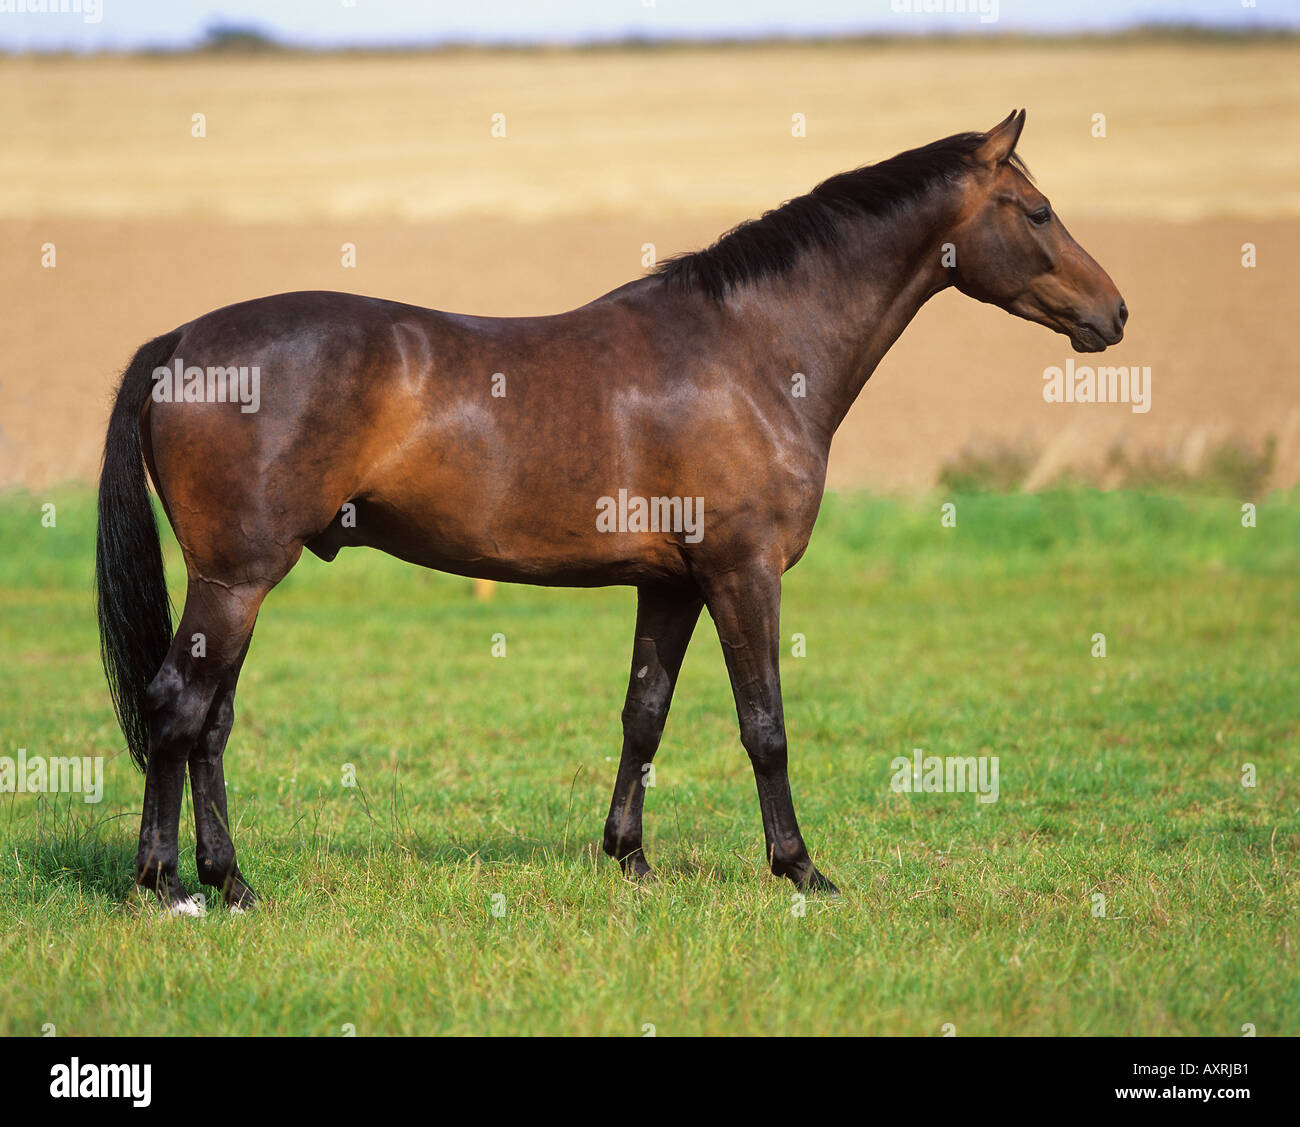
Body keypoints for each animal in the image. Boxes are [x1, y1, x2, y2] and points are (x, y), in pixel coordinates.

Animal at [96, 110, 1125, 913]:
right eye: (1038, 210)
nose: (1113, 314)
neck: (751, 350)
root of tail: (180, 342)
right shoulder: (741, 573)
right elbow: (765, 725)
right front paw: (801, 870)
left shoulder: (671, 585)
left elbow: (645, 713)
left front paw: (630, 858)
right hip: (234, 580)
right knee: (176, 706)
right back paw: (170, 885)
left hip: (239, 584)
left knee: (210, 723)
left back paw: (231, 880)